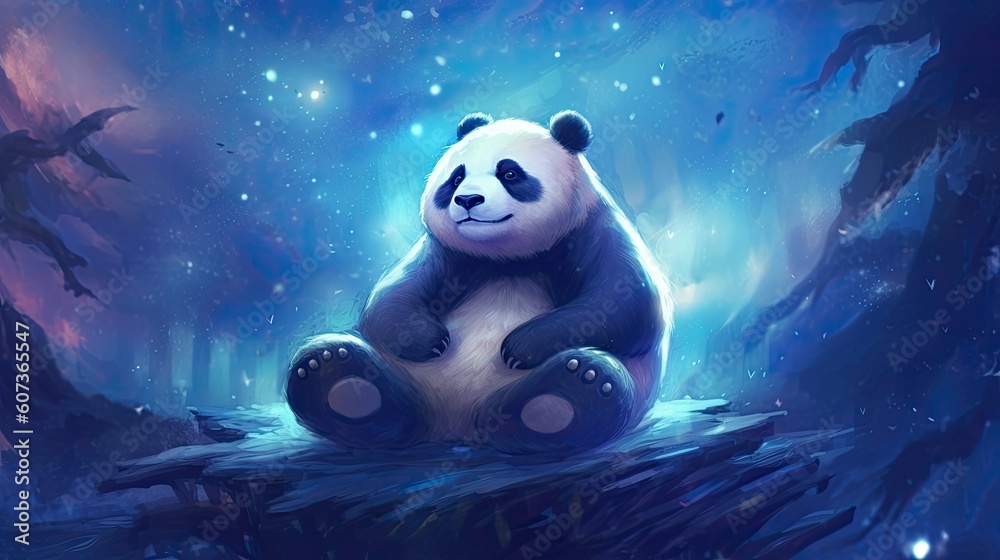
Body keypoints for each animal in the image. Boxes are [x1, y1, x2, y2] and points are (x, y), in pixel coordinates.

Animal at [286, 111, 672, 455]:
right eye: (456, 177)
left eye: (510, 172)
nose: (468, 199)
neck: (508, 261)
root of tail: (453, 424)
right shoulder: (447, 253)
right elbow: (392, 295)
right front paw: (428, 339)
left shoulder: (592, 230)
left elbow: (626, 303)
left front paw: (520, 346)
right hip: (410, 379)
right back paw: (334, 372)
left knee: (598, 388)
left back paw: (571, 390)